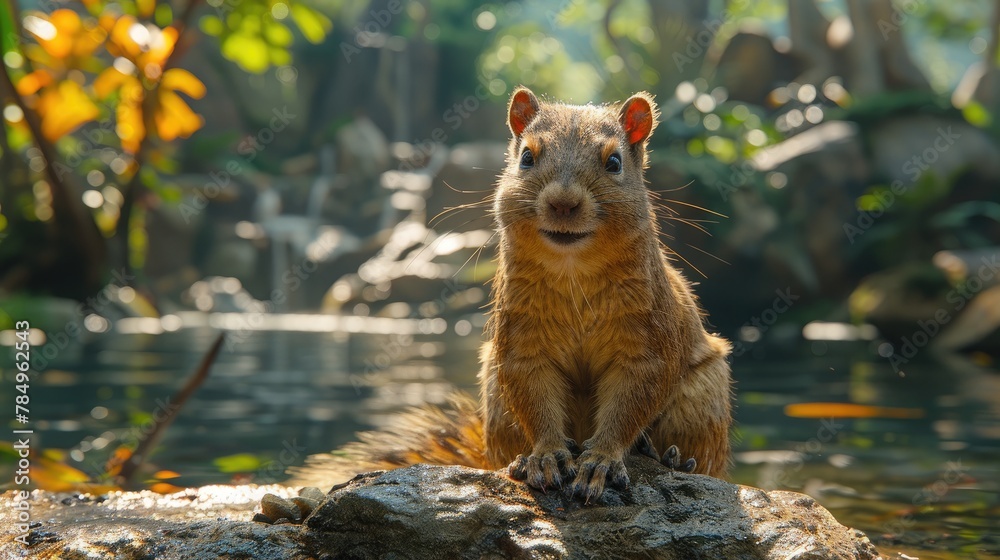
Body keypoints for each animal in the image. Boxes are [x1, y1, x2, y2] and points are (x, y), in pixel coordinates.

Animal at [288, 87, 733, 502]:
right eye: (526, 158)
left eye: (614, 163)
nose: (563, 204)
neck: (573, 271)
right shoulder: (521, 335)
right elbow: (532, 390)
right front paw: (547, 454)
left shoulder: (648, 336)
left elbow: (632, 398)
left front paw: (602, 460)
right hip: (496, 401)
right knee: (500, 451)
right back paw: (521, 460)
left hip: (702, 402)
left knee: (704, 458)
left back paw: (670, 457)